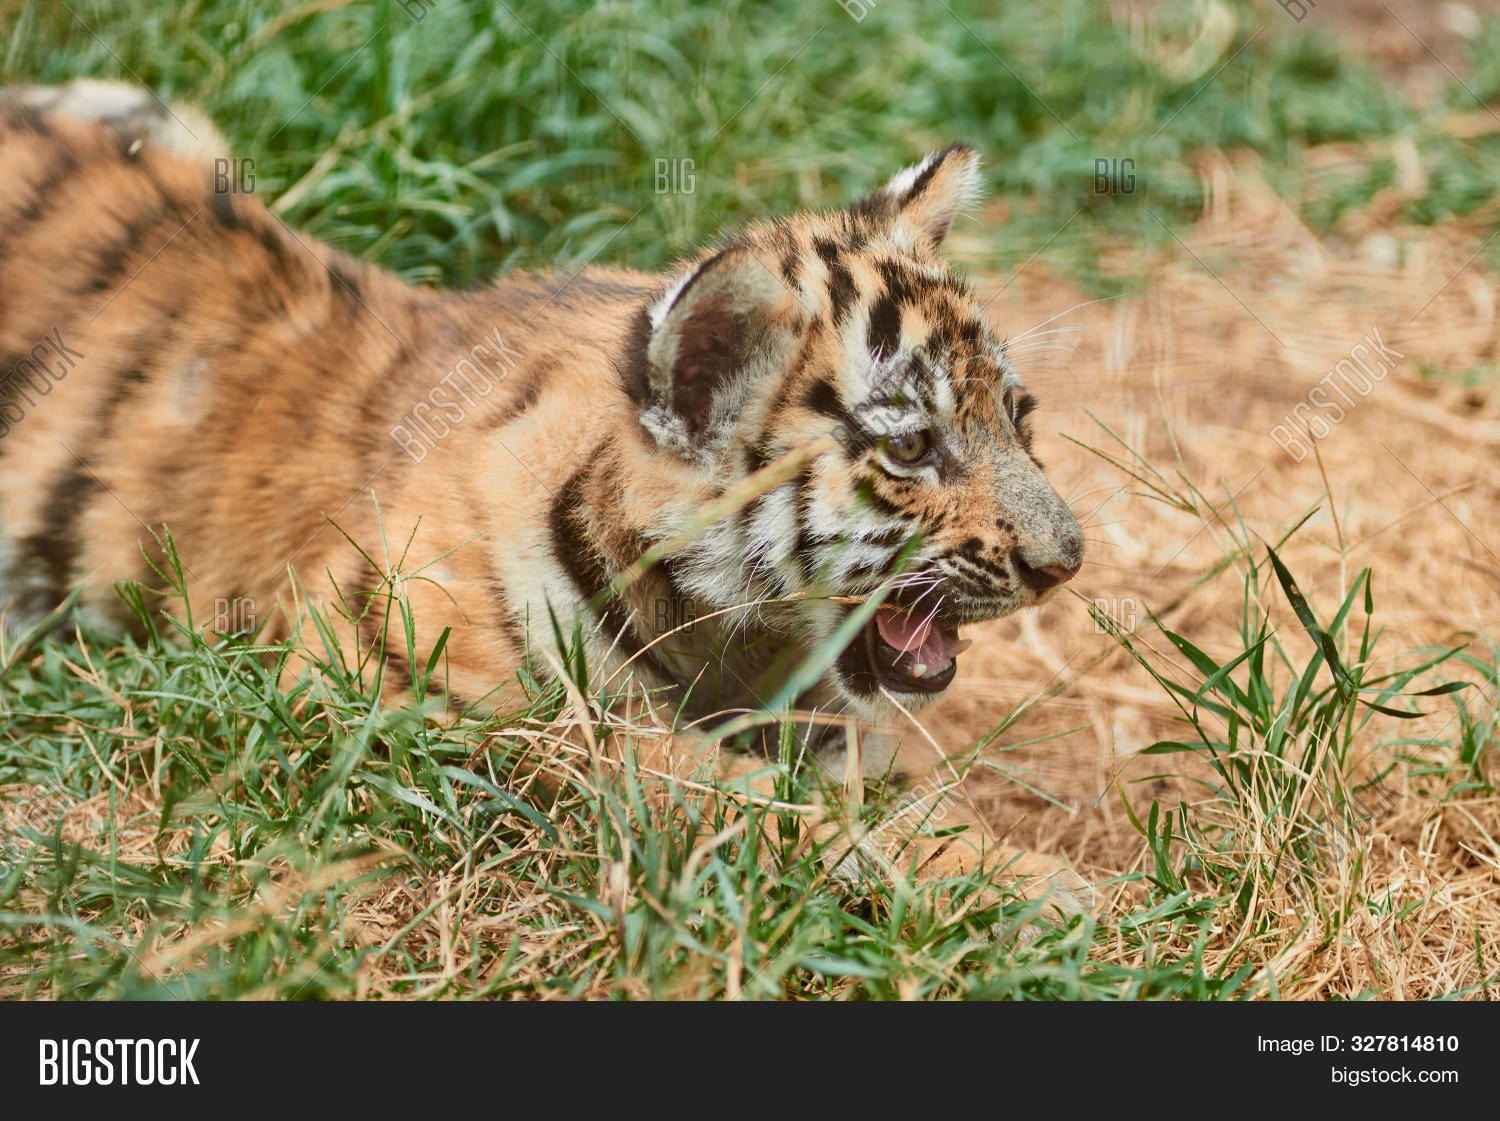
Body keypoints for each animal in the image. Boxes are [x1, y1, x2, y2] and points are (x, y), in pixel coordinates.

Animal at [0, 81, 1091, 913]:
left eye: (1019, 415)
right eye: (910, 447)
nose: (1065, 561)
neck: (721, 632)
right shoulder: (414, 697)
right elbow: (738, 793)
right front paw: (1052, 889)